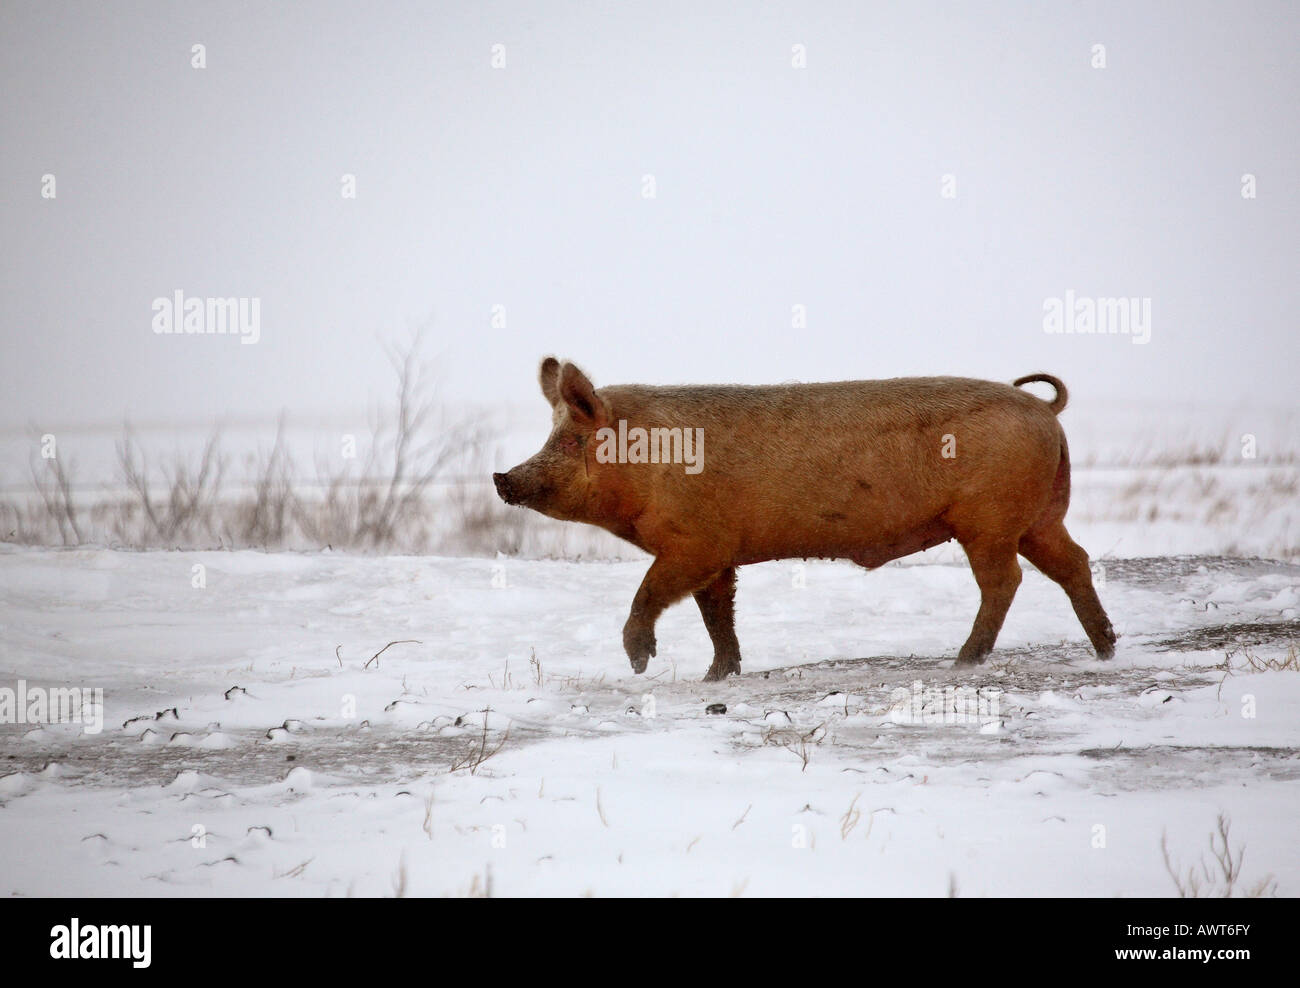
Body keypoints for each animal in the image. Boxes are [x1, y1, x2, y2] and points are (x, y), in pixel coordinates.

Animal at [494, 358, 1116, 681]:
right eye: (550, 434)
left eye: (570, 439)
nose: (503, 477)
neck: (649, 467)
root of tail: (1044, 409)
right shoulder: (720, 554)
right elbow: (716, 614)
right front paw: (718, 675)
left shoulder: (695, 543)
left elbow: (650, 592)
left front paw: (641, 665)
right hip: (1039, 518)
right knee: (1074, 563)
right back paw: (1106, 649)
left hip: (989, 520)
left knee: (1005, 580)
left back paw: (964, 660)